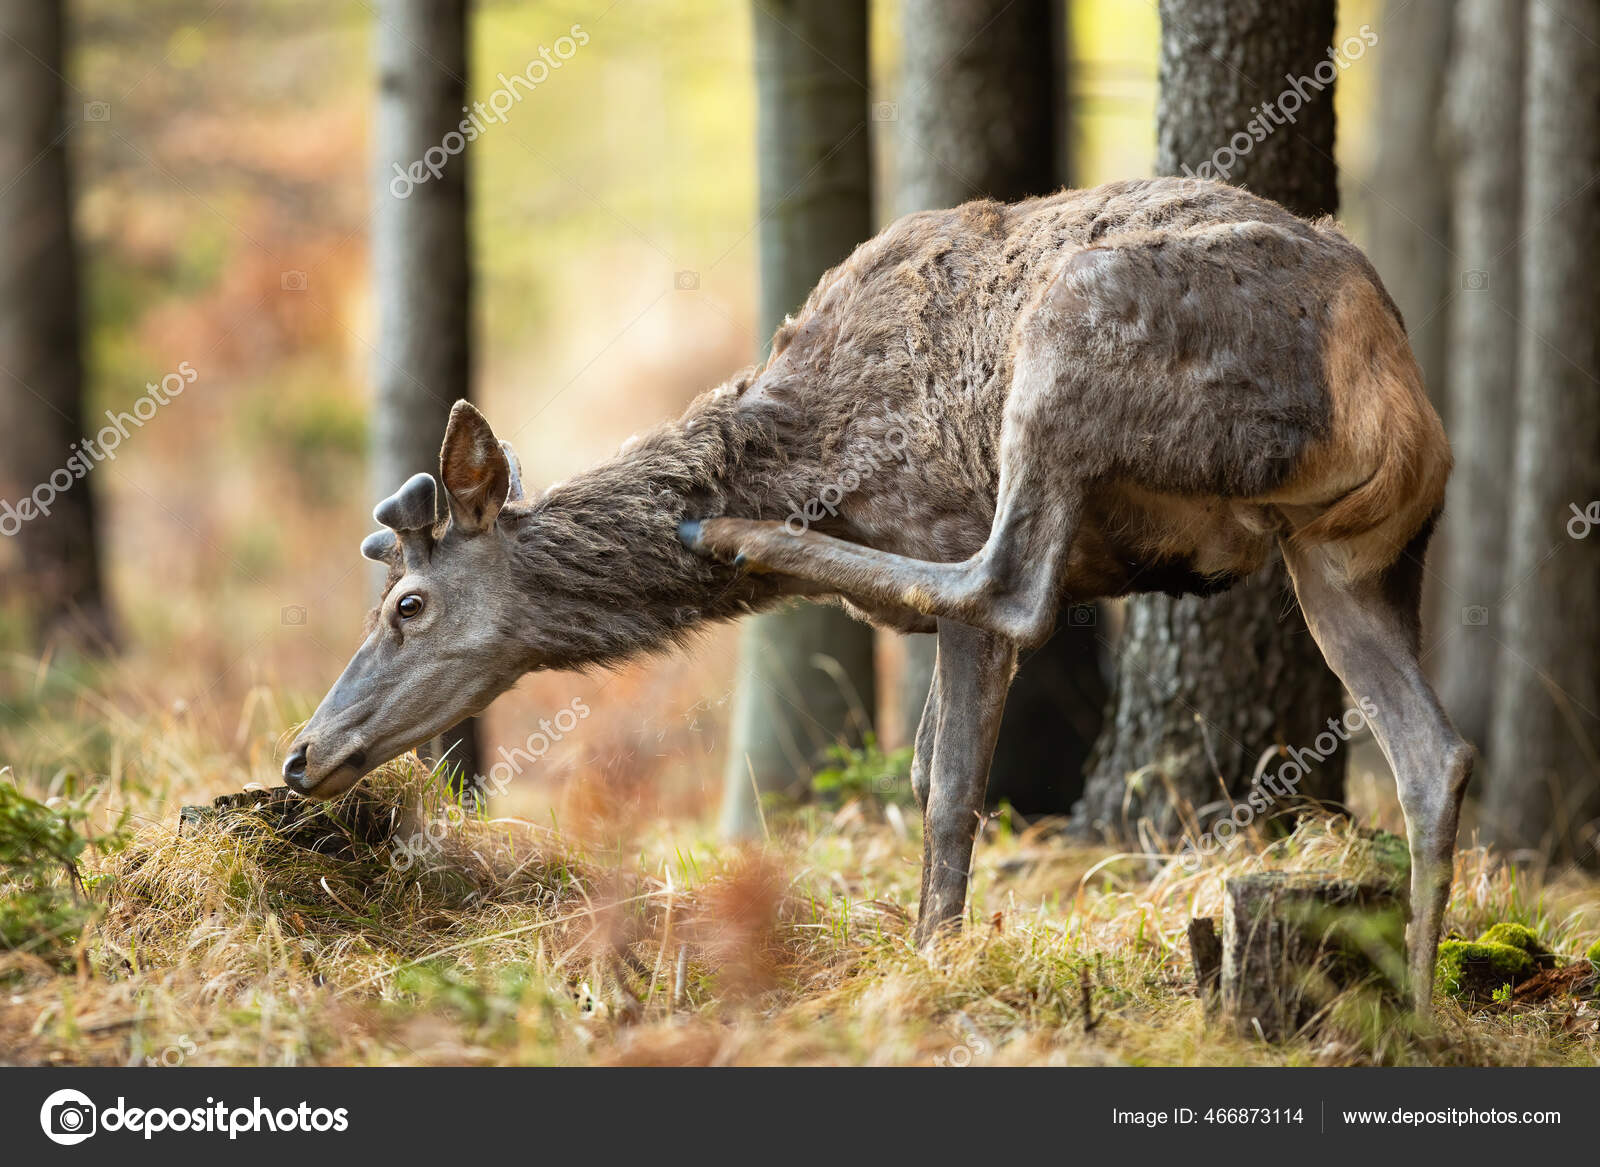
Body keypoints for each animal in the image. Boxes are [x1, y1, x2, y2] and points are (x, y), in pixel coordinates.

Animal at [285, 177, 1469, 1014]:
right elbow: (919, 772)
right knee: (1435, 754)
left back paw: (734, 534)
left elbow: (947, 785)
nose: (301, 753)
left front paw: (932, 963)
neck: (803, 445)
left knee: (1005, 584)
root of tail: (1392, 386)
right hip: (1349, 556)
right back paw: (1416, 1000)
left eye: (407, 605)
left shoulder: (941, 521)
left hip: (1076, 325)